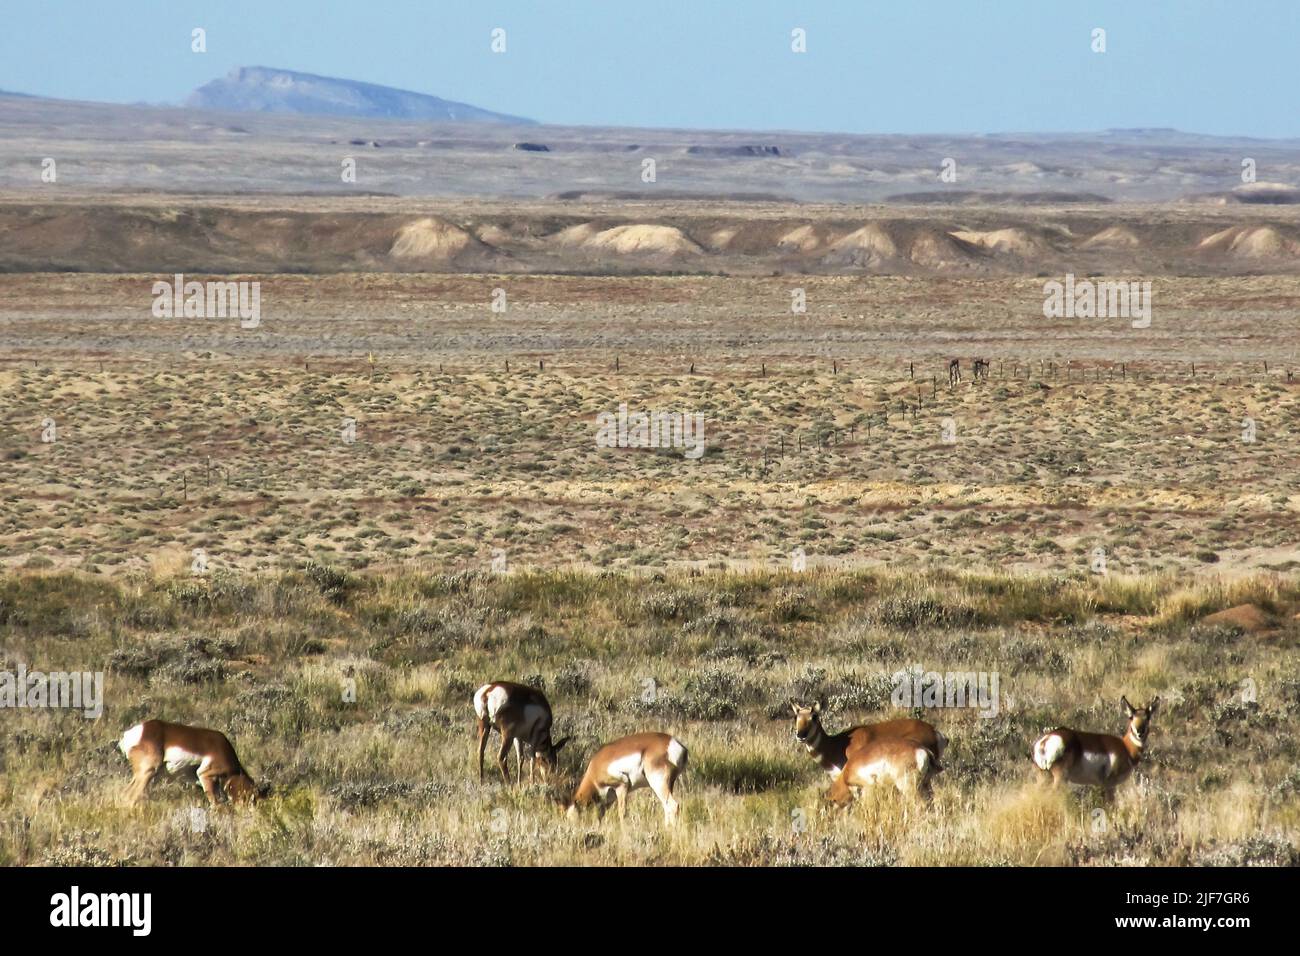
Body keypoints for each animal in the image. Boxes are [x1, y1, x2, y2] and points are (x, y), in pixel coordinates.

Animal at [118, 719, 257, 806]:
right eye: (250, 797)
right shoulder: (206, 776)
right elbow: (216, 804)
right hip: (148, 773)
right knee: (131, 796)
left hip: (143, 775)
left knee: (125, 793)